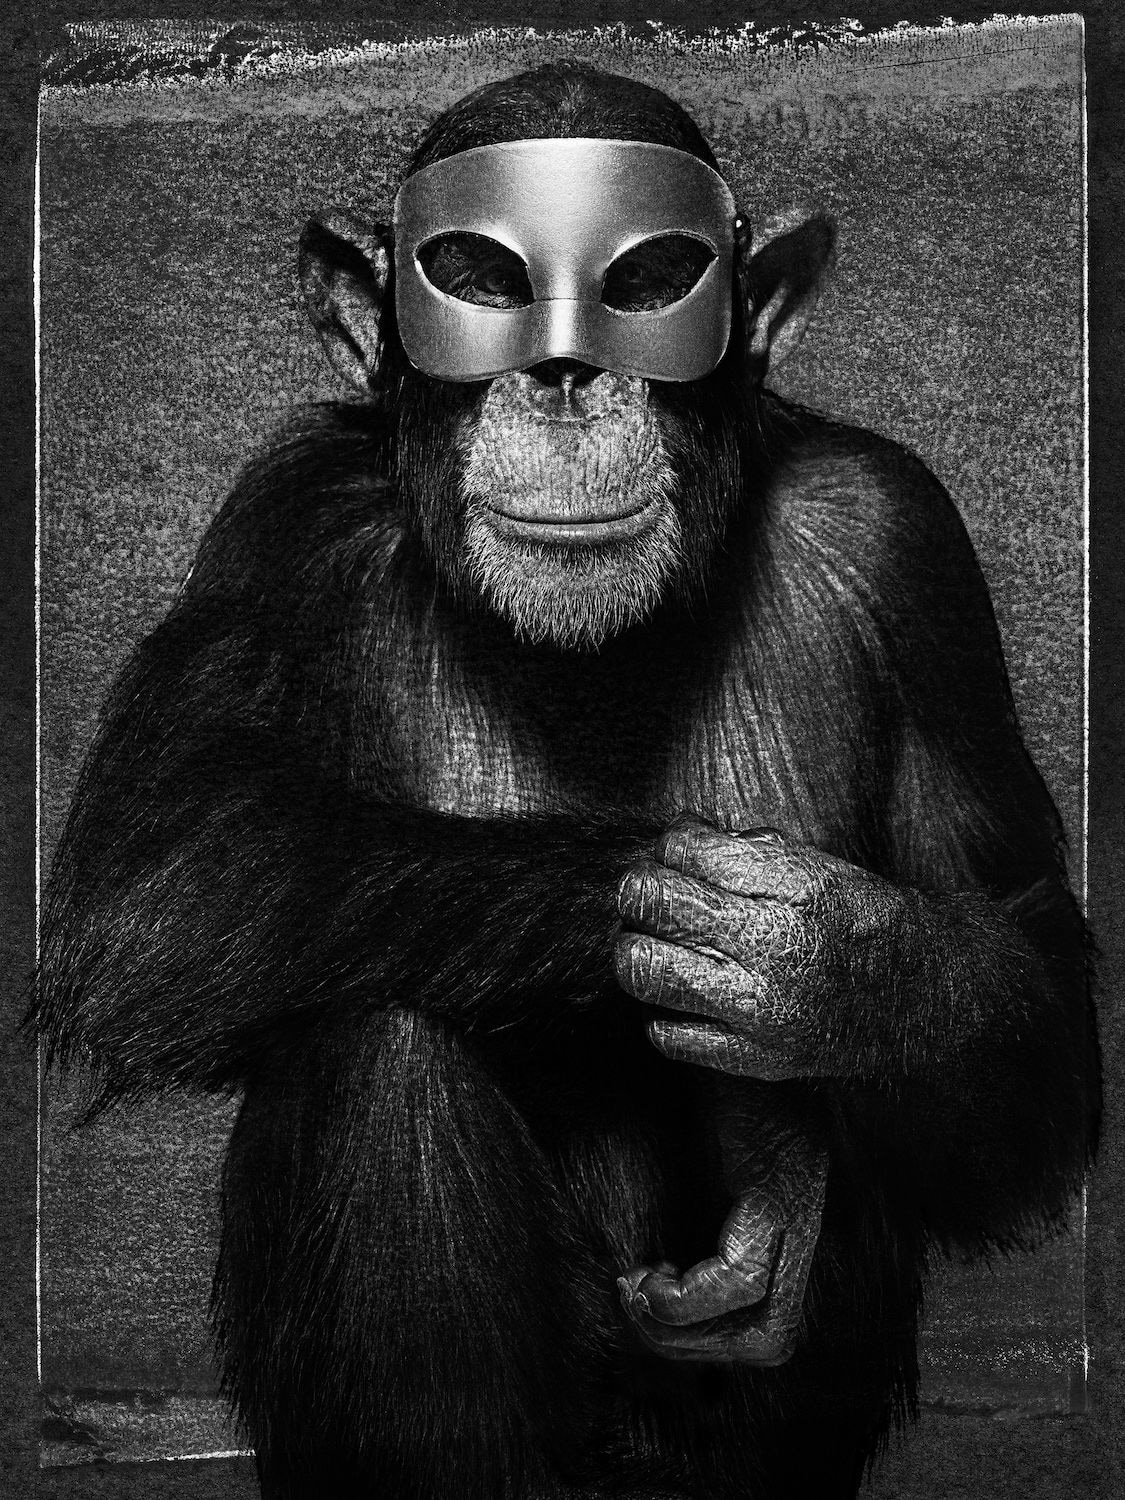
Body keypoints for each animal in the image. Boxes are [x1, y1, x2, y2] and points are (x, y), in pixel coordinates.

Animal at [33, 60, 1099, 1500]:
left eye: (648, 281)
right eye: (480, 276)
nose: (563, 371)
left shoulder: (907, 545)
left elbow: (1031, 958)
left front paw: (845, 972)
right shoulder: (283, 529)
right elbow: (163, 875)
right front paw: (740, 1008)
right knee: (372, 1041)